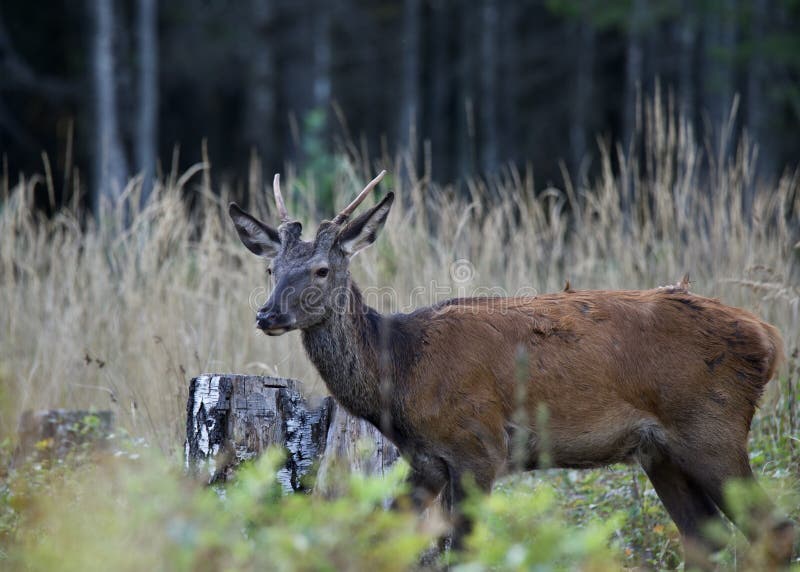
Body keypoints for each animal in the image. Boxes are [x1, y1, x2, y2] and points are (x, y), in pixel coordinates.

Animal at [229, 171, 795, 568]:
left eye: (321, 270)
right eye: (271, 268)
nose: (266, 315)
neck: (403, 373)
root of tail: (769, 337)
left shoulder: (479, 446)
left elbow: (463, 553)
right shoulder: (425, 460)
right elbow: (380, 537)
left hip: (712, 427)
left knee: (774, 530)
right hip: (660, 451)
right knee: (705, 538)